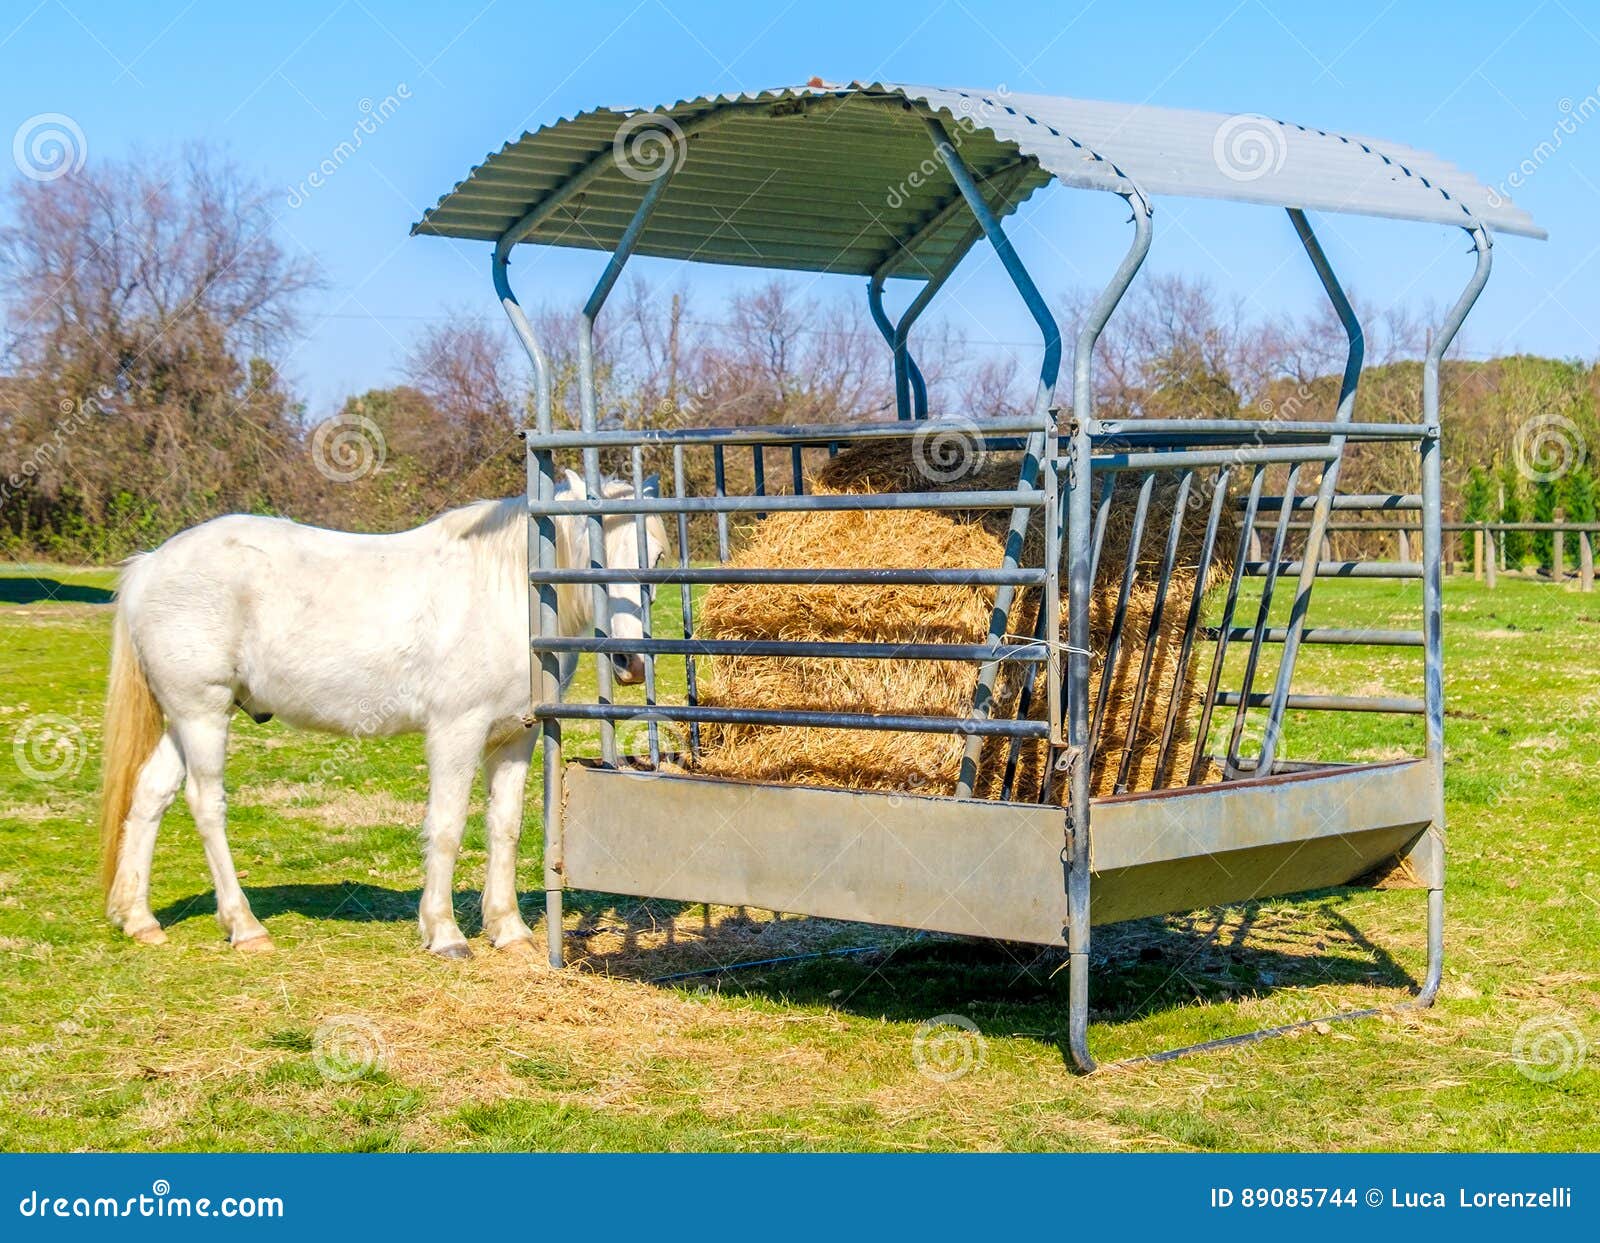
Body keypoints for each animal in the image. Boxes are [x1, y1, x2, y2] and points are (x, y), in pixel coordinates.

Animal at [98, 471, 668, 958]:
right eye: (593, 561)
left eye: (658, 558)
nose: (631, 661)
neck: (506, 593)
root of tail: (152, 564)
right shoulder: (455, 731)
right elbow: (447, 826)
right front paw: (444, 933)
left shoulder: (515, 737)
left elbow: (504, 826)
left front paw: (508, 930)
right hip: (203, 714)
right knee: (206, 804)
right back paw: (245, 926)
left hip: (184, 718)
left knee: (150, 793)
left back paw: (138, 919)